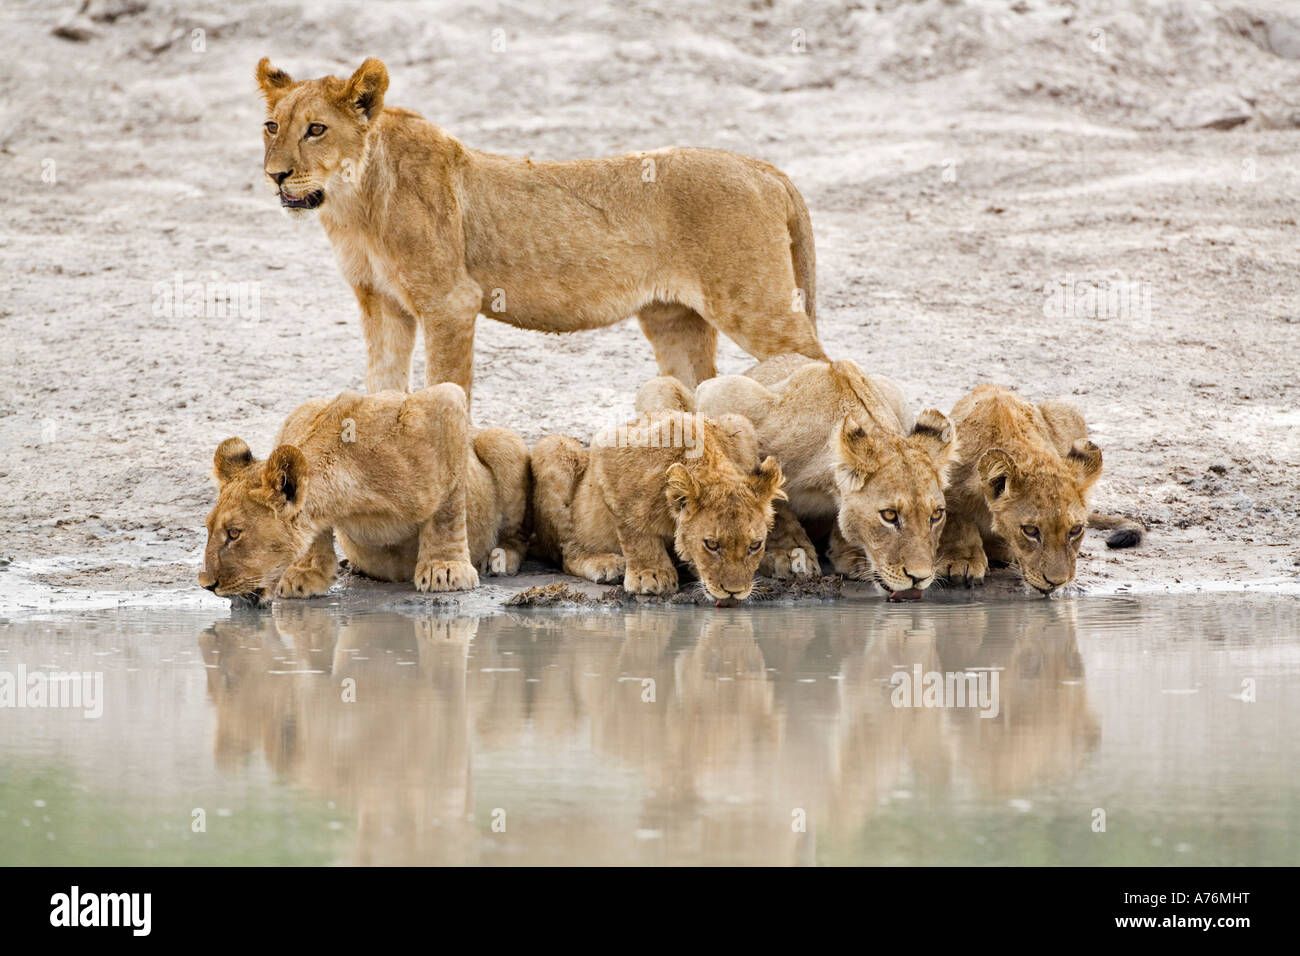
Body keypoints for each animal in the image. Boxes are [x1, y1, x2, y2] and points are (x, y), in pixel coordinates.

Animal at [198, 384, 529, 608]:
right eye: (209, 528)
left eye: (234, 533)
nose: (206, 585)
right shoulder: (301, 416)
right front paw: (307, 572)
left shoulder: (444, 403)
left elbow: (447, 507)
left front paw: (445, 569)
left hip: (499, 441)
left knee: (518, 534)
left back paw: (500, 557)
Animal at [255, 57, 825, 398]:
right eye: (271, 126)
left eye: (317, 129)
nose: (275, 175)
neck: (354, 207)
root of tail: (764, 169)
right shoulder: (382, 305)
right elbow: (383, 389)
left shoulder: (450, 303)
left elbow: (447, 392)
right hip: (673, 319)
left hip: (757, 306)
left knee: (828, 369)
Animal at [529, 380, 787, 603]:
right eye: (711, 545)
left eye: (755, 546)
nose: (734, 592)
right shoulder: (608, 449)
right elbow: (634, 526)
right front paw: (650, 575)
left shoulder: (741, 428)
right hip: (553, 448)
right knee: (567, 552)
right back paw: (604, 564)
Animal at [695, 355, 957, 599]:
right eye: (889, 515)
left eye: (936, 515)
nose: (919, 577)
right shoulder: (721, 393)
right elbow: (772, 498)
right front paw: (789, 553)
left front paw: (852, 552)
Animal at [937, 384, 1143, 595]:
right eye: (1030, 530)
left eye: (1075, 530)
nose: (1056, 582)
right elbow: (957, 520)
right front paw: (963, 560)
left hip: (1066, 406)